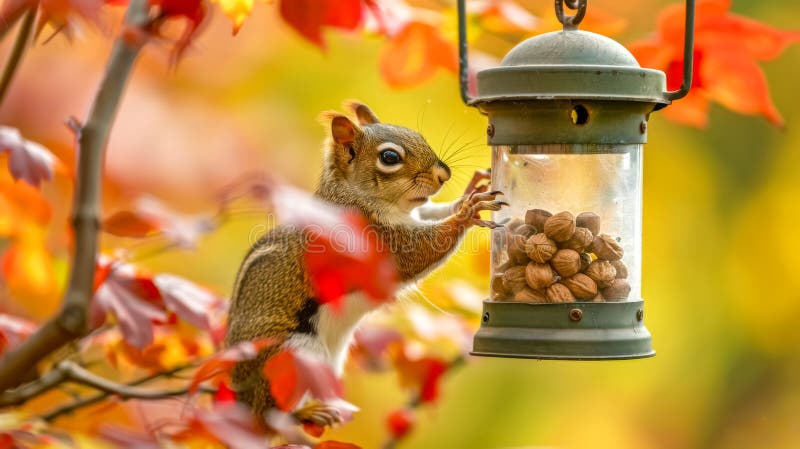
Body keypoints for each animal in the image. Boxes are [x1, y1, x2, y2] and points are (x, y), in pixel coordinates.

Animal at [225, 101, 505, 425]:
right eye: (389, 157)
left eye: (417, 134)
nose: (443, 174)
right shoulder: (375, 241)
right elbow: (420, 250)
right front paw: (468, 211)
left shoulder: (414, 215)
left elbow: (432, 213)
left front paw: (470, 193)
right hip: (291, 359)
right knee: (269, 414)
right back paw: (306, 412)